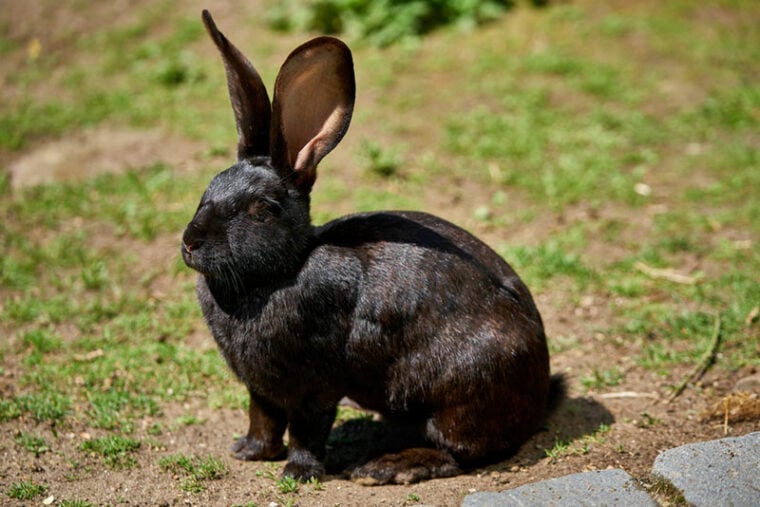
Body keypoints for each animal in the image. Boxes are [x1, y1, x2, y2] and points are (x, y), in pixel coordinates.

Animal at [181, 9, 563, 485]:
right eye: (208, 191)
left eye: (262, 210)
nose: (189, 243)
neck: (283, 270)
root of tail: (539, 391)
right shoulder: (260, 386)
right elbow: (263, 417)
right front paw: (248, 452)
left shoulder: (316, 384)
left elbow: (306, 428)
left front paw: (298, 473)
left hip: (464, 392)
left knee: (461, 452)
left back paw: (386, 467)